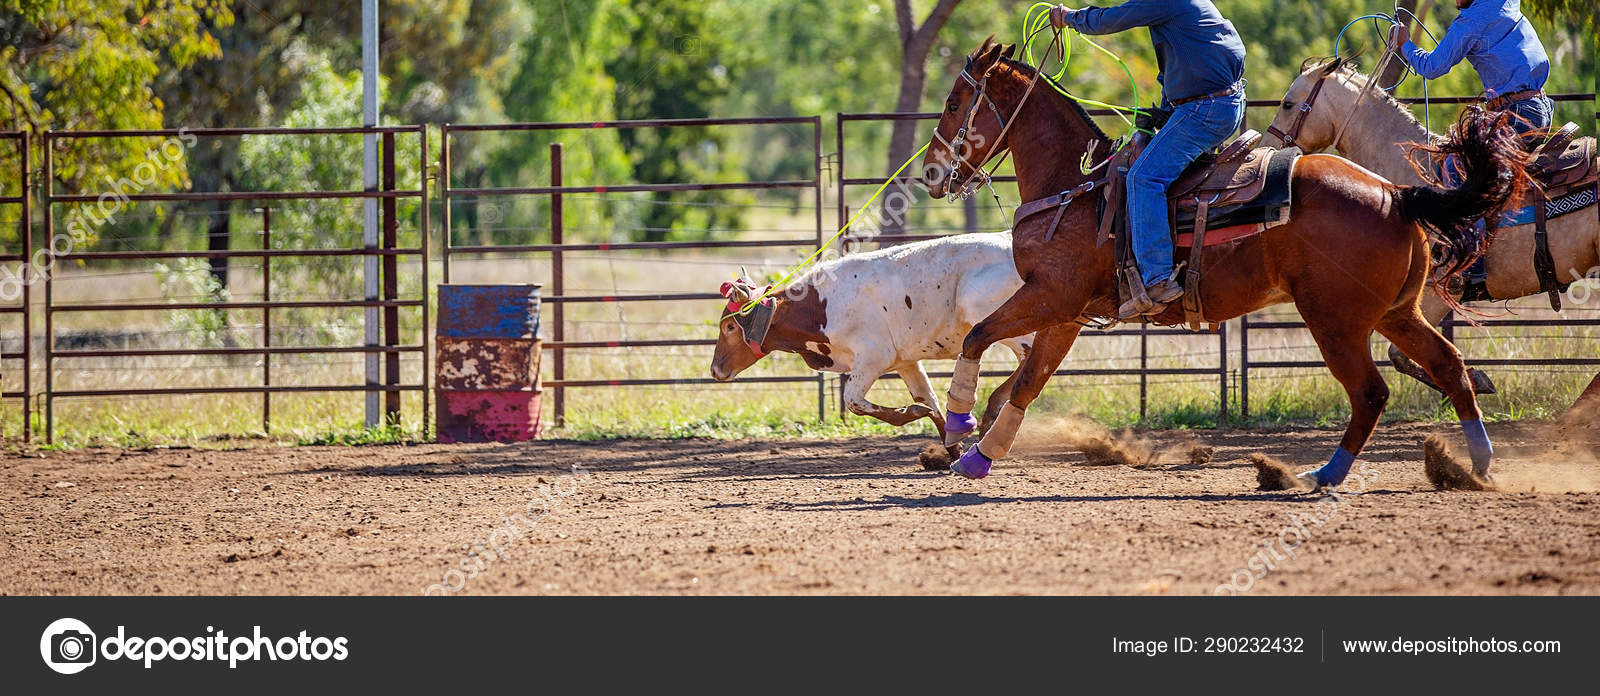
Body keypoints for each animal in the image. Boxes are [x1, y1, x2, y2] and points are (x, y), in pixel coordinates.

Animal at [710, 232, 1033, 467]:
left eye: (730, 328)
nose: (715, 370)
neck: (821, 306)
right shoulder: (905, 362)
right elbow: (929, 400)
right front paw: (950, 451)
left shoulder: (872, 359)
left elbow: (853, 401)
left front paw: (913, 414)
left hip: (996, 318)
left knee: (1030, 354)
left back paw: (993, 409)